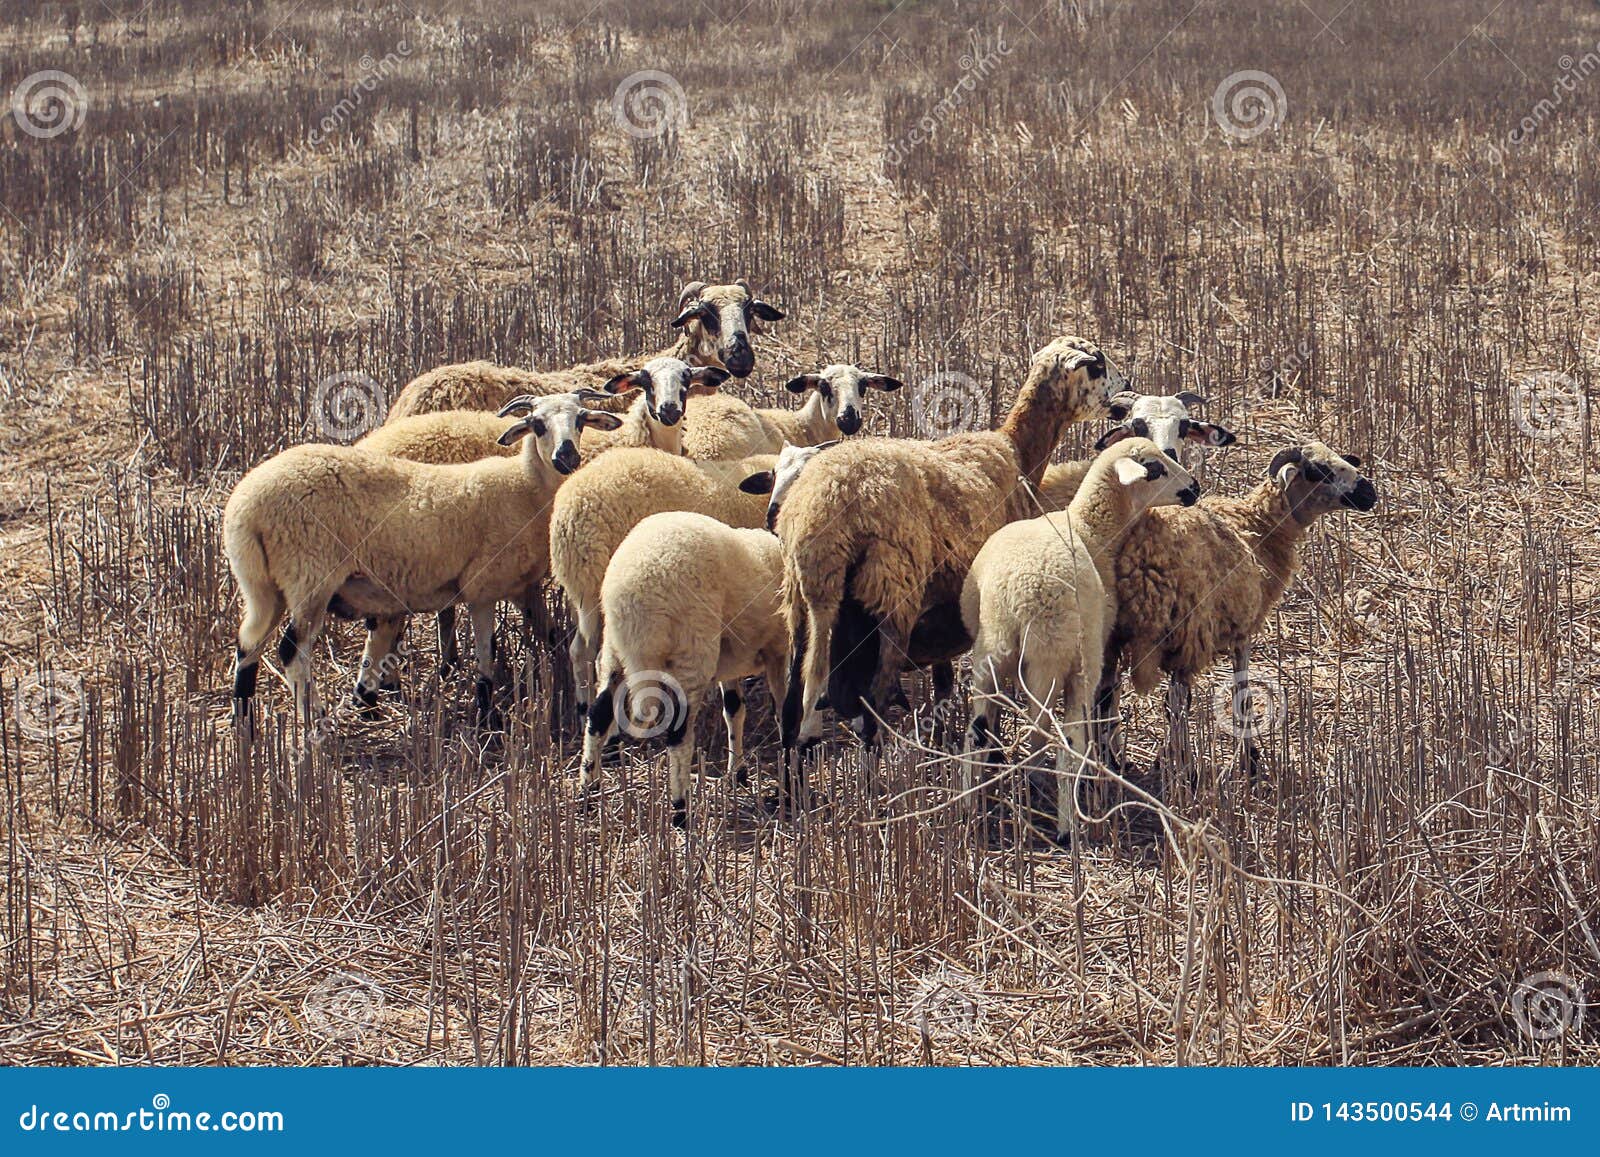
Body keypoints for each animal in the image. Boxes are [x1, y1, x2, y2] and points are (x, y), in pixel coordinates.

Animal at [224, 392, 622, 727]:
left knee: (248, 643)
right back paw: (315, 718)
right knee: (291, 650)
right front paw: (486, 713)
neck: (525, 485)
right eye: (537, 424)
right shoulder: (482, 585)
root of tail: (246, 507)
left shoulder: (521, 586)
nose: (566, 458)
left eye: (581, 420)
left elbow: (550, 634)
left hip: (262, 585)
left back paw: (244, 724)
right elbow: (487, 652)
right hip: (310, 577)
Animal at [579, 509, 789, 826]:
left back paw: (586, 795)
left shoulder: (729, 663)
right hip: (693, 650)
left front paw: (737, 773)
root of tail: (633, 594)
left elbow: (734, 712)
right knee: (678, 734)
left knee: (598, 715)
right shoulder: (780, 650)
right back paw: (680, 812)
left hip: (613, 652)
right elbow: (782, 713)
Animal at [775, 335, 1119, 772]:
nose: (1125, 389)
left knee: (790, 707)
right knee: (873, 707)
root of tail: (827, 512)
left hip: (798, 601)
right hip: (891, 595)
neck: (1016, 450)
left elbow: (942, 684)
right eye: (1097, 365)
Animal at [960, 438, 1200, 841]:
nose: (1194, 489)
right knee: (1065, 744)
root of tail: (1019, 599)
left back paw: (967, 812)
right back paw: (1066, 829)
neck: (1089, 528)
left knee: (976, 732)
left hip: (990, 654)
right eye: (1154, 469)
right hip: (1067, 660)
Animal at [1101, 441, 1378, 778]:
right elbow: (1241, 696)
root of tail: (1135, 554)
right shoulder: (1243, 630)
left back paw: (1109, 763)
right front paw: (1249, 760)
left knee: (1105, 696)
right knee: (1175, 703)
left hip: (1110, 633)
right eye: (1319, 471)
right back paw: (1184, 767)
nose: (1369, 492)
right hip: (1186, 631)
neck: (1257, 526)